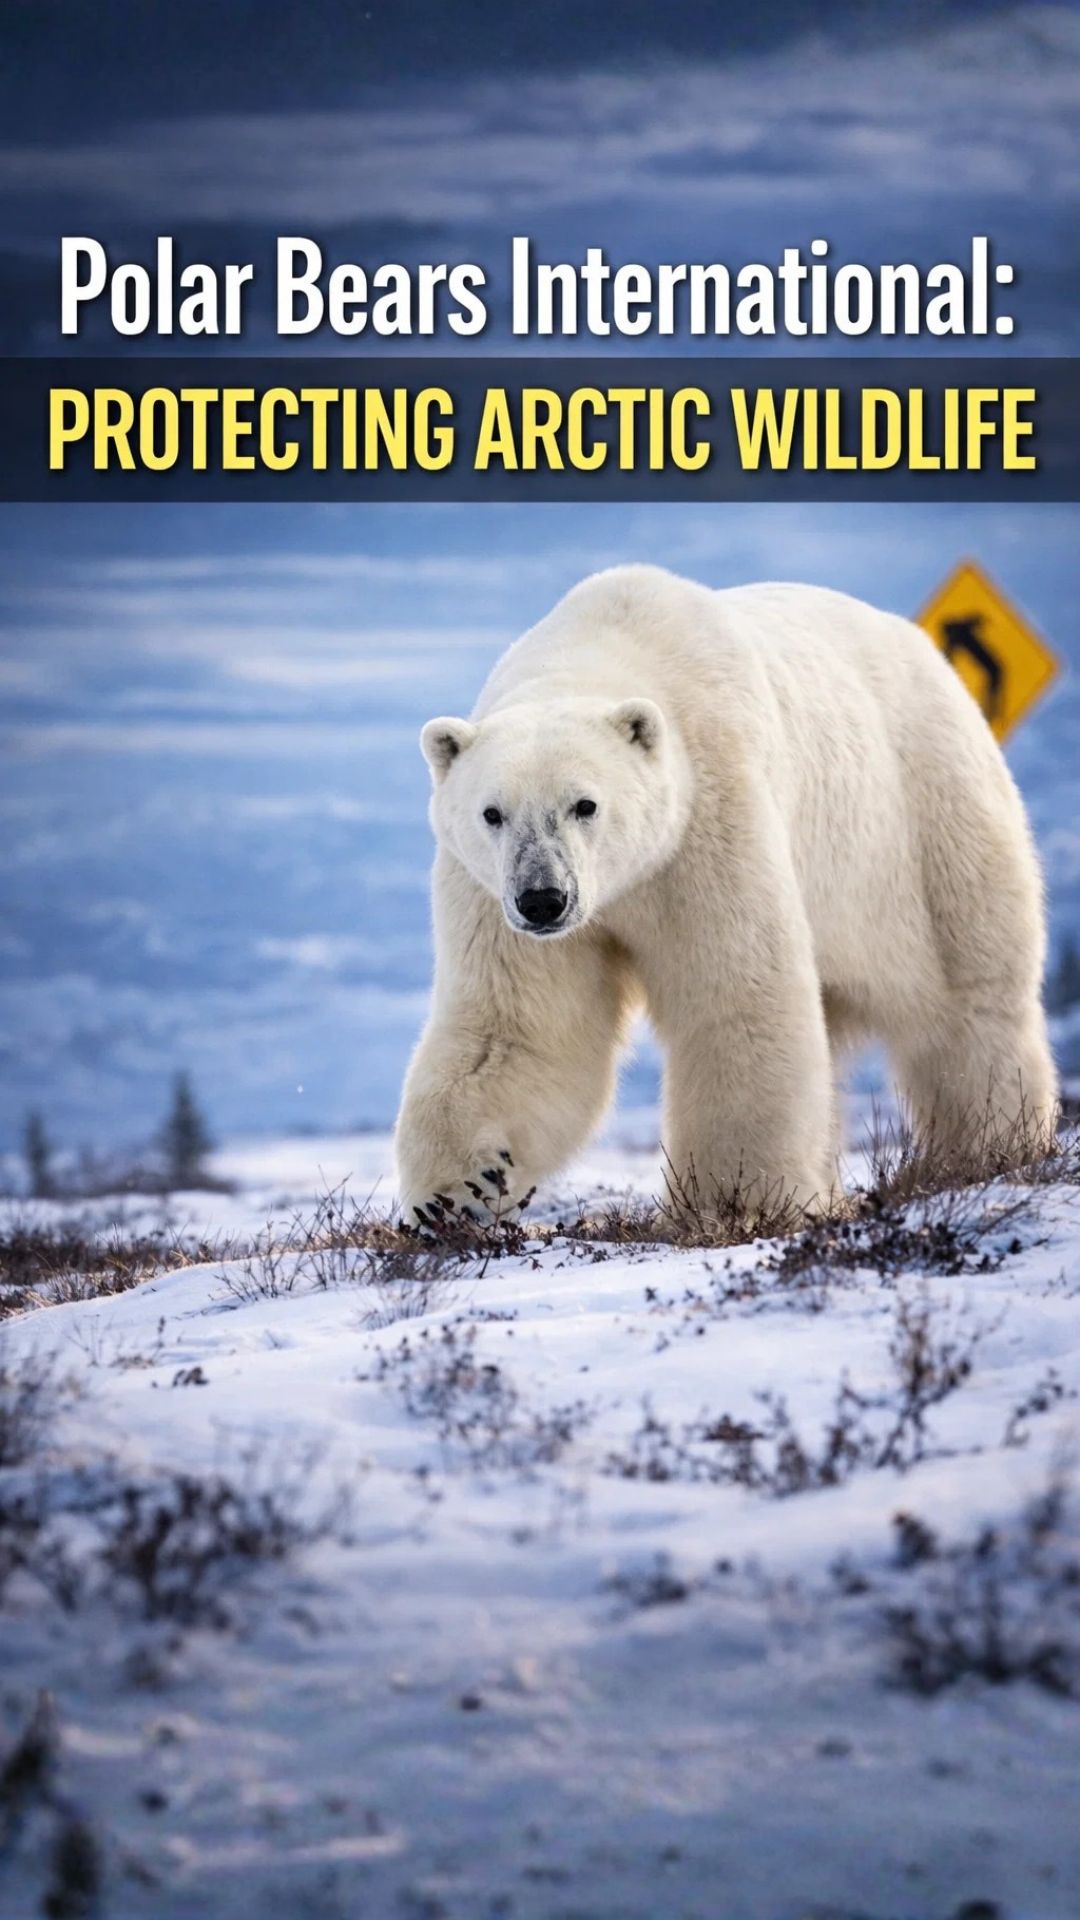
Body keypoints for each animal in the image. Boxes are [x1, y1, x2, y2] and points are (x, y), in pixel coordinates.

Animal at [395, 564, 1057, 1225]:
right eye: (492, 813)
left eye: (585, 804)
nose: (543, 899)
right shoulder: (491, 891)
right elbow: (514, 1025)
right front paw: (459, 1188)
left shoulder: (708, 821)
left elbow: (737, 996)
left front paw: (736, 1198)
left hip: (925, 822)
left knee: (970, 994)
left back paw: (988, 1148)